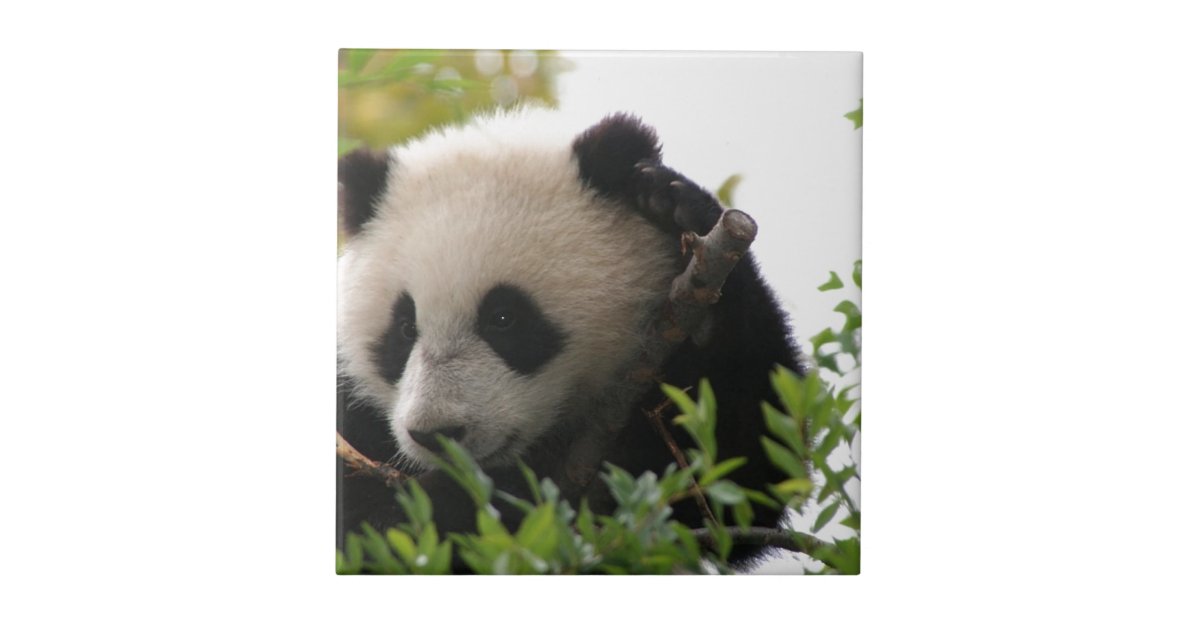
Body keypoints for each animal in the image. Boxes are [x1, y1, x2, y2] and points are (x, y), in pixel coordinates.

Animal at [337, 108, 806, 566]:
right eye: (404, 328)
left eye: (504, 318)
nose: (437, 433)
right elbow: (374, 530)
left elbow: (742, 475)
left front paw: (677, 208)